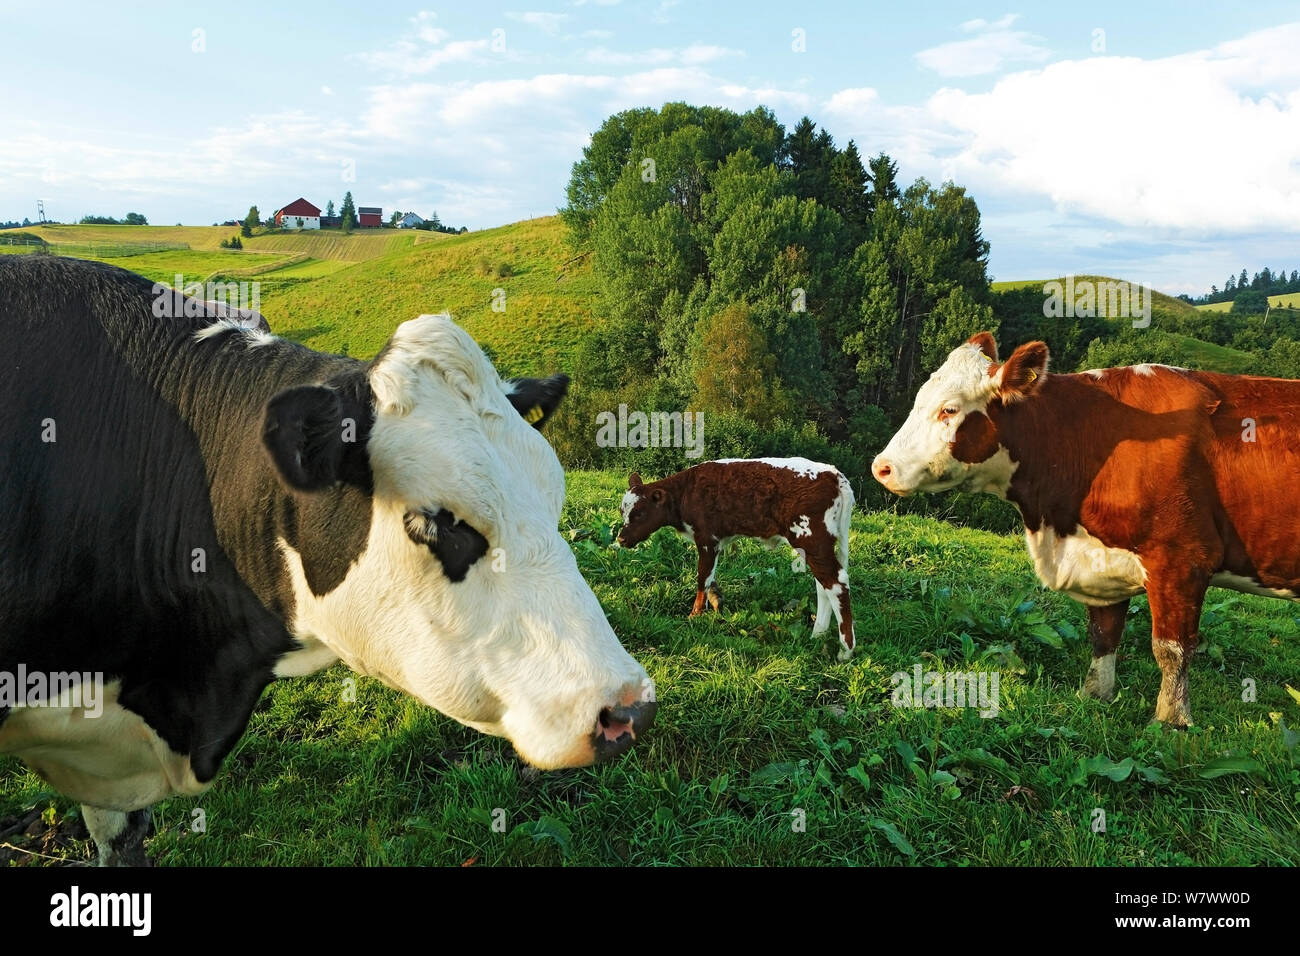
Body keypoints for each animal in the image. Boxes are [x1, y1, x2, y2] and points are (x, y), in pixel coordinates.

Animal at [616, 458, 856, 660]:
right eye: (622, 511)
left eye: (639, 513)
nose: (621, 538)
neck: (687, 492)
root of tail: (833, 474)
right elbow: (710, 578)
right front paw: (715, 602)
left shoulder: (707, 539)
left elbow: (702, 577)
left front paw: (694, 615)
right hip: (815, 546)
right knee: (823, 587)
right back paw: (818, 635)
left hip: (811, 540)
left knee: (837, 584)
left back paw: (845, 650)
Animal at [872, 330, 1300, 728]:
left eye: (949, 409)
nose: (882, 467)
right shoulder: (1103, 559)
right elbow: (1103, 634)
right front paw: (1094, 695)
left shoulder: (1182, 558)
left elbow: (1172, 649)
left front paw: (1171, 721)